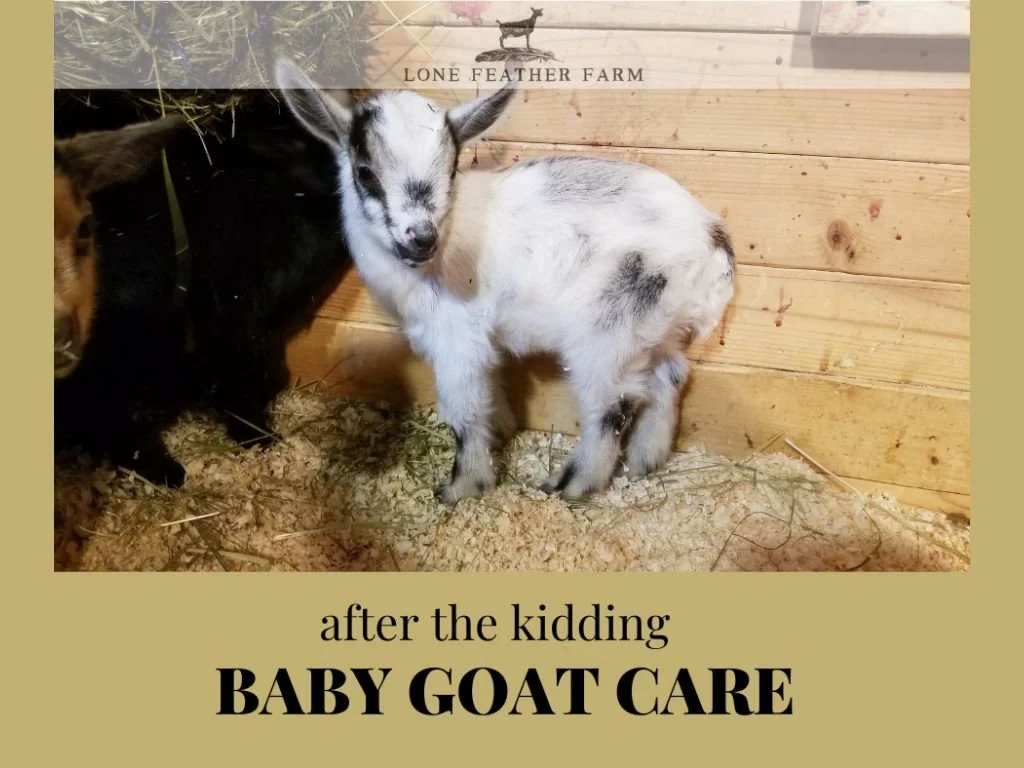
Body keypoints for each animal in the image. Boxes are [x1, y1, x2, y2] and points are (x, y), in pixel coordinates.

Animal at [275, 59, 735, 503]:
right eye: (365, 172)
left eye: (452, 168)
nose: (421, 238)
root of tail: (712, 242)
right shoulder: (479, 339)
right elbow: (490, 390)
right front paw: (502, 432)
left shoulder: (456, 337)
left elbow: (463, 410)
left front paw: (465, 486)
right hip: (655, 327)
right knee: (669, 375)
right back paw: (645, 458)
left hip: (609, 330)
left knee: (613, 405)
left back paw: (573, 484)